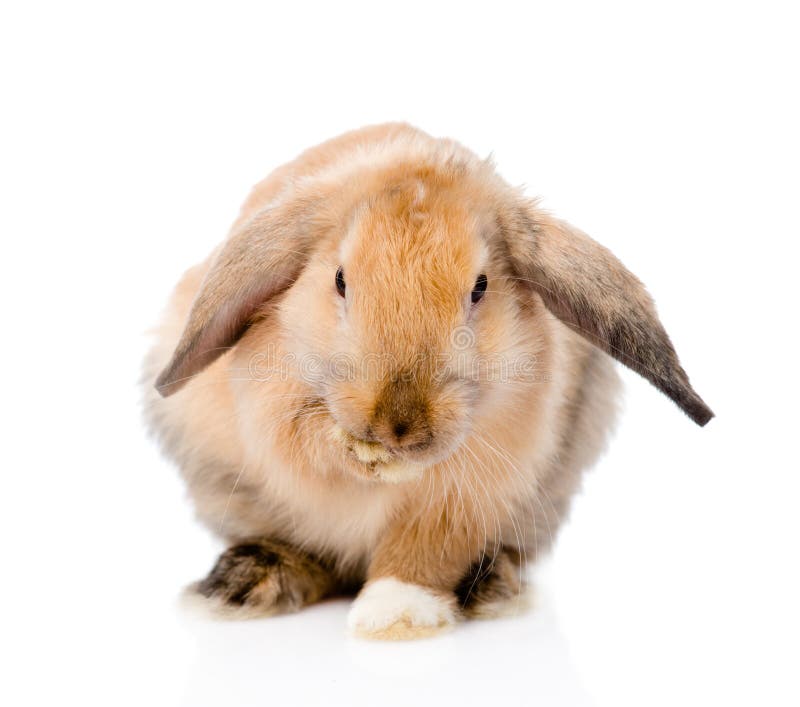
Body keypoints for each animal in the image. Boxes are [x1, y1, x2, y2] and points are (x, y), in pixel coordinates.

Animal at [142, 122, 712, 640]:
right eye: (340, 280)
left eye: (480, 287)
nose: (397, 426)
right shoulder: (271, 408)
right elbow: (307, 441)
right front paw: (365, 456)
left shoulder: (468, 491)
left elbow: (423, 553)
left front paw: (395, 619)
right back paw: (244, 583)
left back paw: (487, 588)